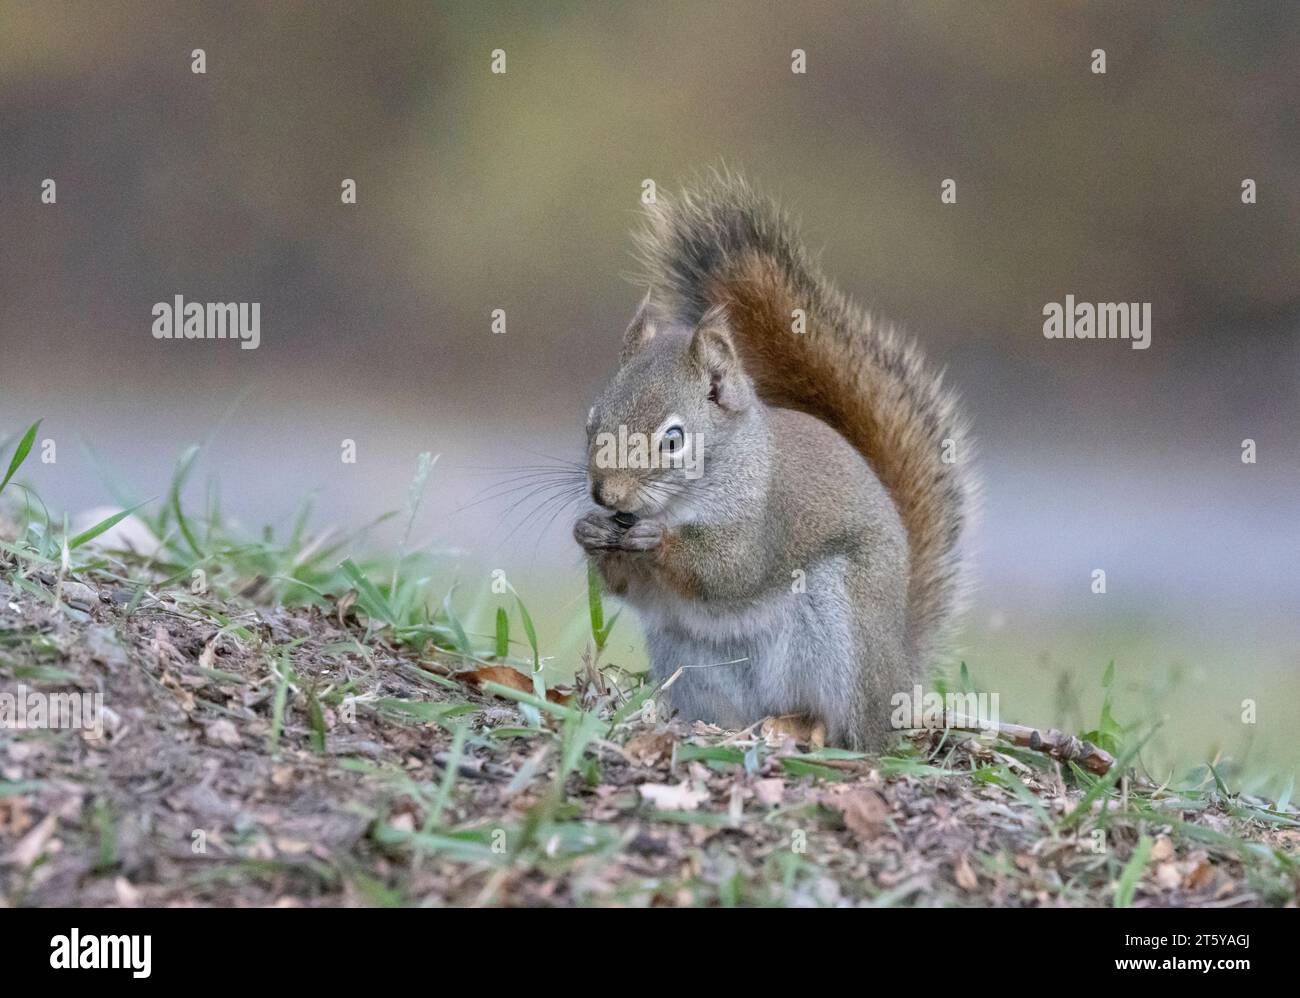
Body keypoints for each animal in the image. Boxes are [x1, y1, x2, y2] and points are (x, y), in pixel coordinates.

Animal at [573, 173, 972, 750]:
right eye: (592, 419)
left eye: (673, 440)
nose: (605, 494)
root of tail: (900, 674)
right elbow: (633, 588)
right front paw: (588, 530)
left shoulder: (765, 520)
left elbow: (731, 569)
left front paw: (657, 540)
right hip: (692, 660)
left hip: (839, 630)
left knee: (846, 726)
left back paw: (809, 729)